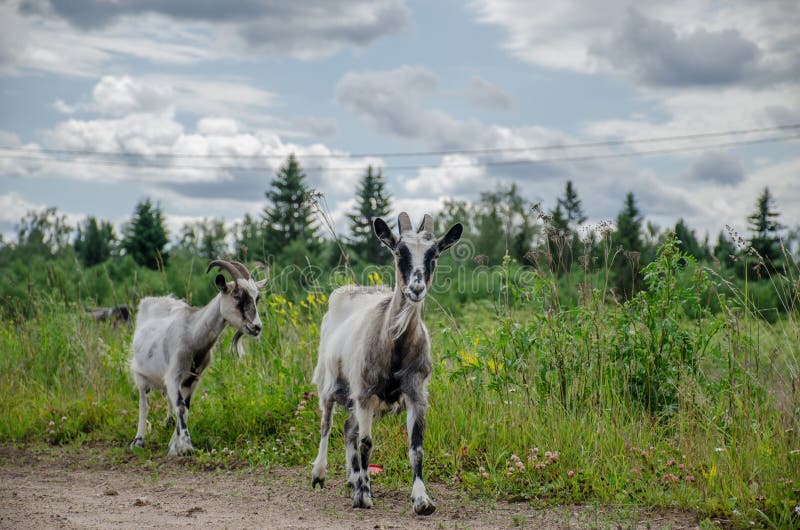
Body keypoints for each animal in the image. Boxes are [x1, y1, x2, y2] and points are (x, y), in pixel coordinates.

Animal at [129, 260, 267, 455]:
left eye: (257, 298)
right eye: (236, 295)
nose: (257, 327)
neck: (193, 334)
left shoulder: (191, 379)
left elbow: (185, 408)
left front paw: (175, 446)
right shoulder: (174, 375)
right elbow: (180, 406)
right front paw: (186, 446)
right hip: (140, 374)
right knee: (144, 404)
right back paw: (138, 441)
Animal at [311, 212, 462, 515]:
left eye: (434, 254)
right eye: (399, 251)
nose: (416, 288)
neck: (393, 344)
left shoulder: (416, 392)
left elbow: (416, 447)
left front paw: (422, 499)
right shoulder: (365, 391)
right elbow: (366, 443)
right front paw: (363, 497)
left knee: (348, 430)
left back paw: (353, 477)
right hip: (330, 381)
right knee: (327, 423)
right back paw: (320, 474)